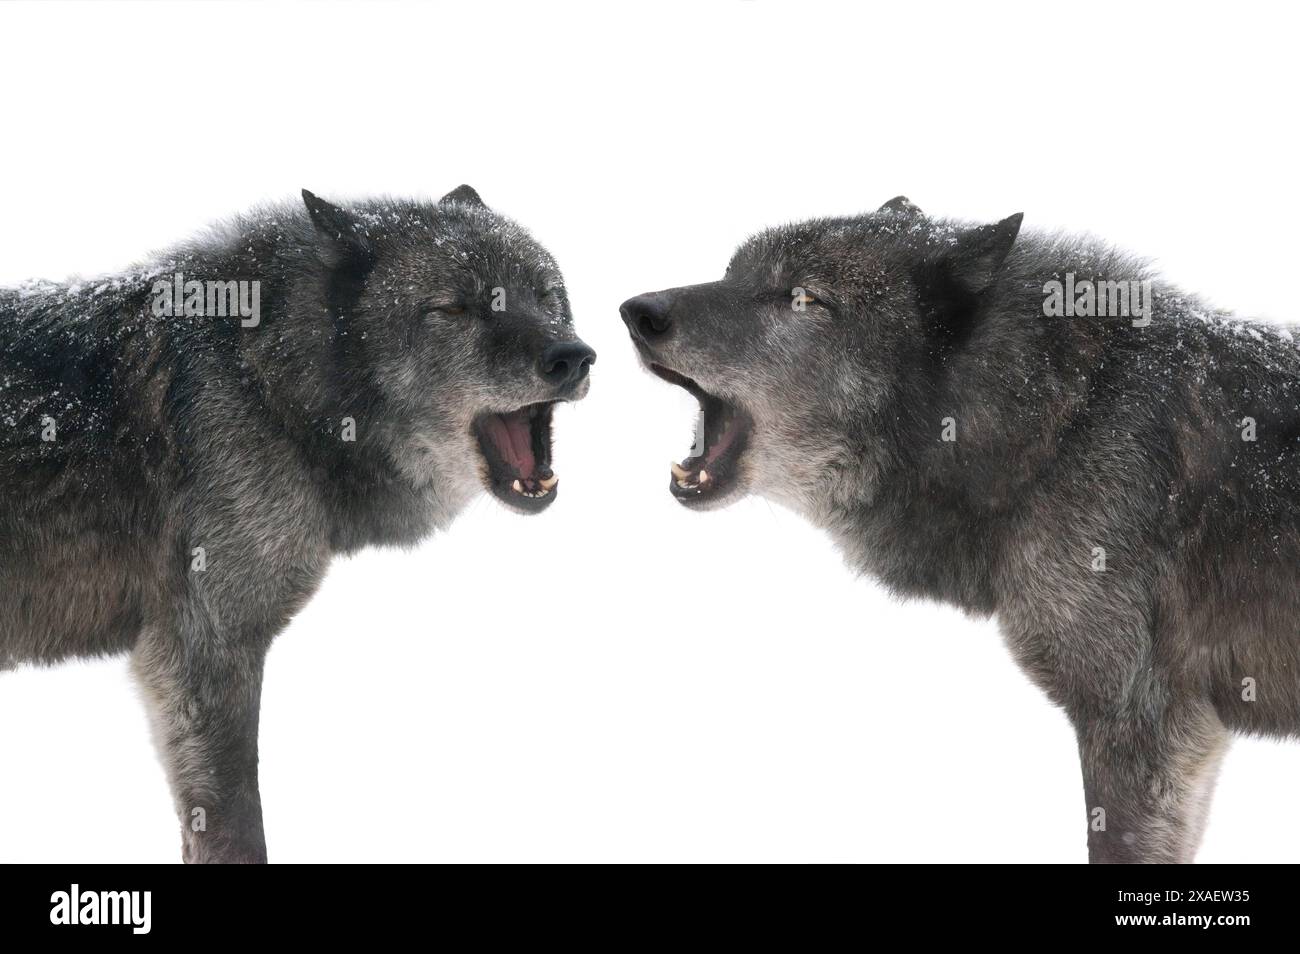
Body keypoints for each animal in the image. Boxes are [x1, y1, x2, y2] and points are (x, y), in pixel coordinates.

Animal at [0, 186, 594, 862]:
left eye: (546, 294)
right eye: (456, 307)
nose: (572, 357)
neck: (264, 382)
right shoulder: (201, 652)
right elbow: (236, 826)